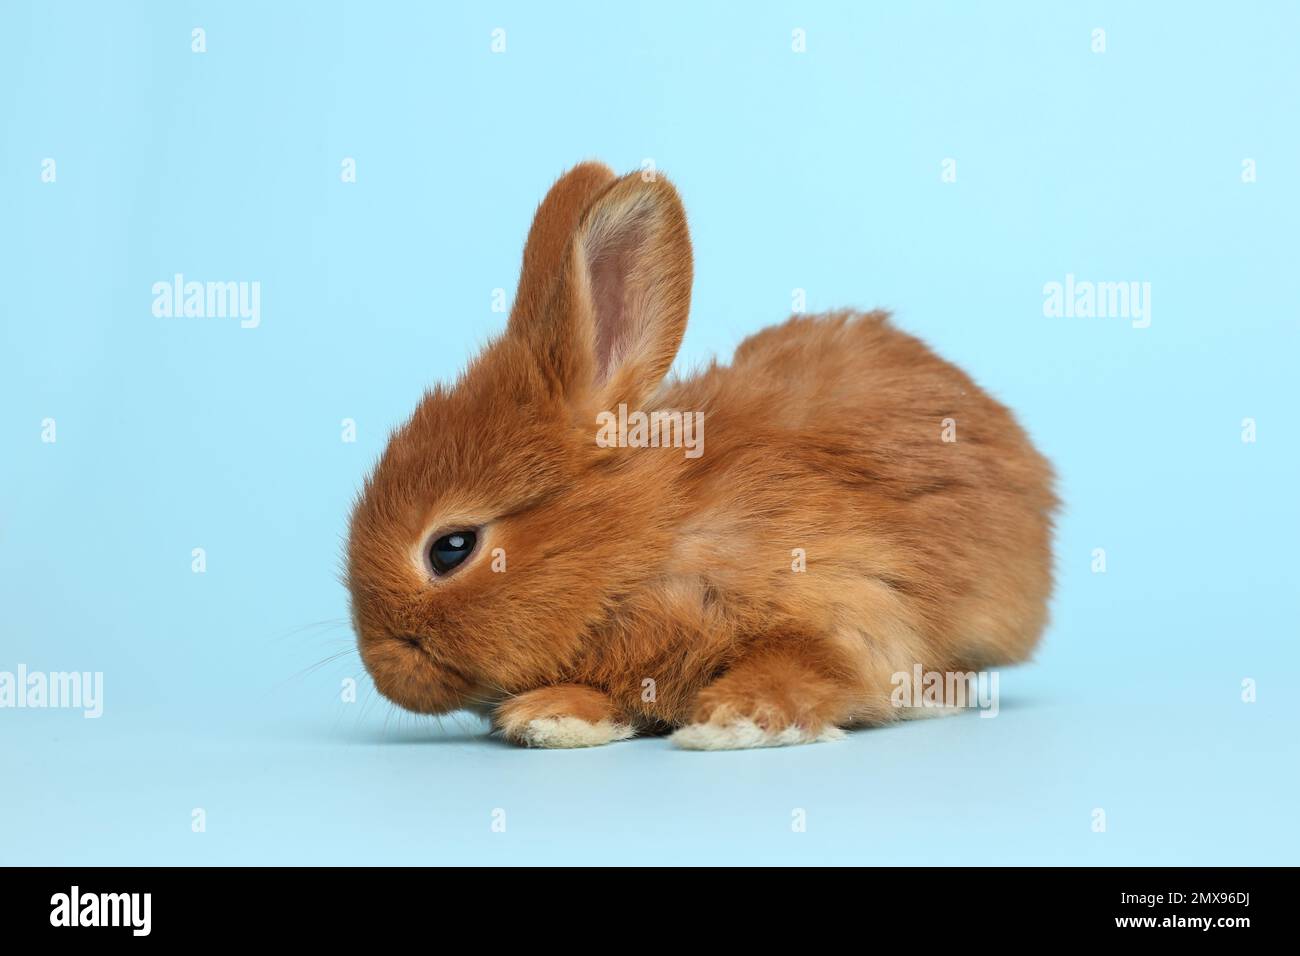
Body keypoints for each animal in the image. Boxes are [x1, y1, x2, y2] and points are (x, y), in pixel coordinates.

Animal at [346, 161, 1057, 750]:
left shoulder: (852, 607)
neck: (645, 540)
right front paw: (552, 714)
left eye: (451, 549)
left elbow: (802, 670)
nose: (382, 667)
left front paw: (729, 721)